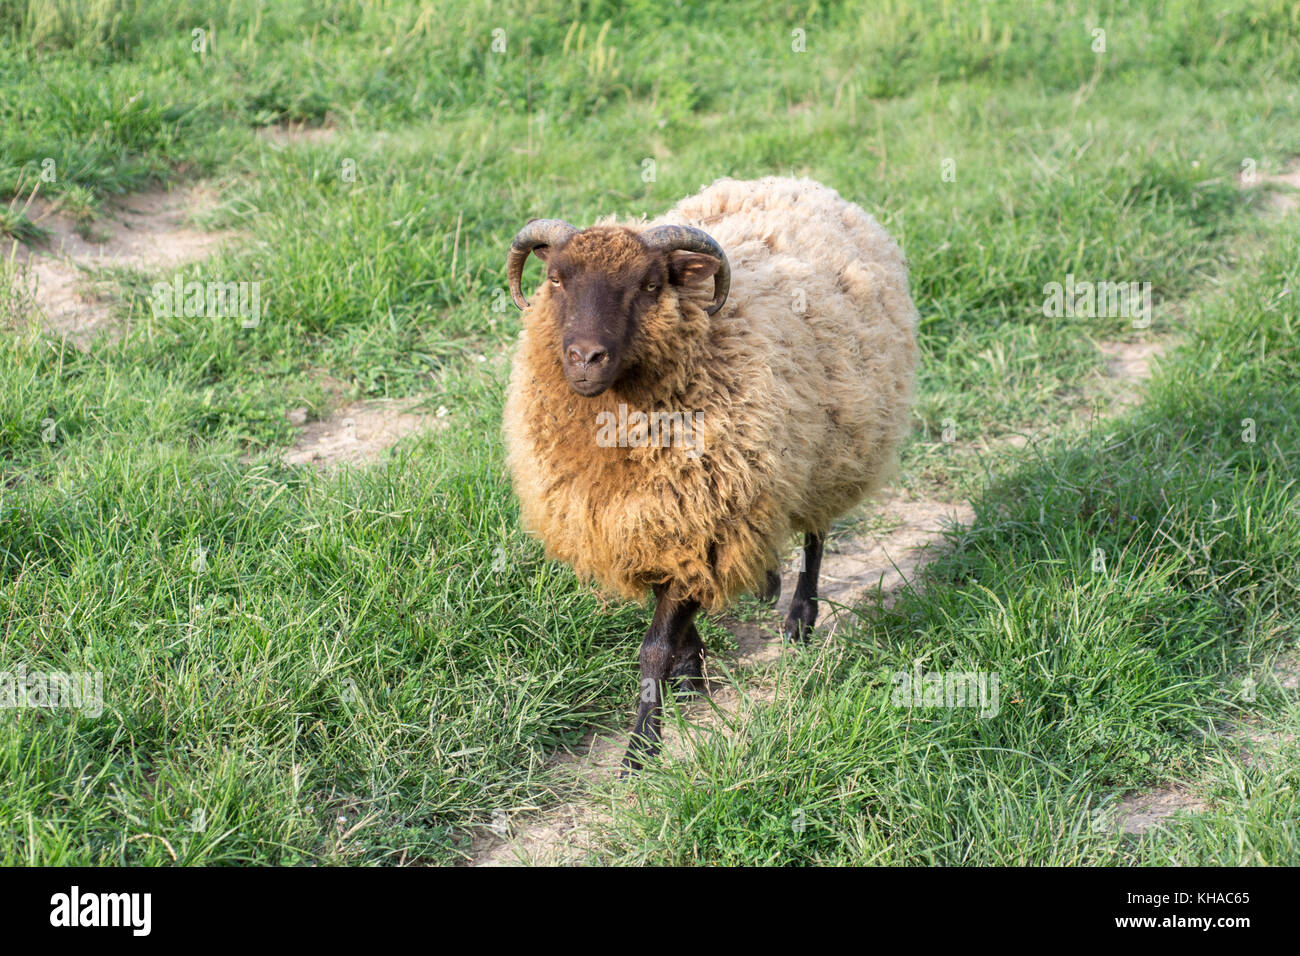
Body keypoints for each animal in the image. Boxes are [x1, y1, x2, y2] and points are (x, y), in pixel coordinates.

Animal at [502, 176, 919, 769]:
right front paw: (690, 667)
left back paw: (799, 618)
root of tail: (801, 181)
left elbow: (653, 647)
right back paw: (768, 585)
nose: (585, 358)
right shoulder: (656, 523)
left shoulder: (704, 523)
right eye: (555, 279)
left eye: (651, 284)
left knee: (816, 535)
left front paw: (641, 748)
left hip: (834, 448)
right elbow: (672, 615)